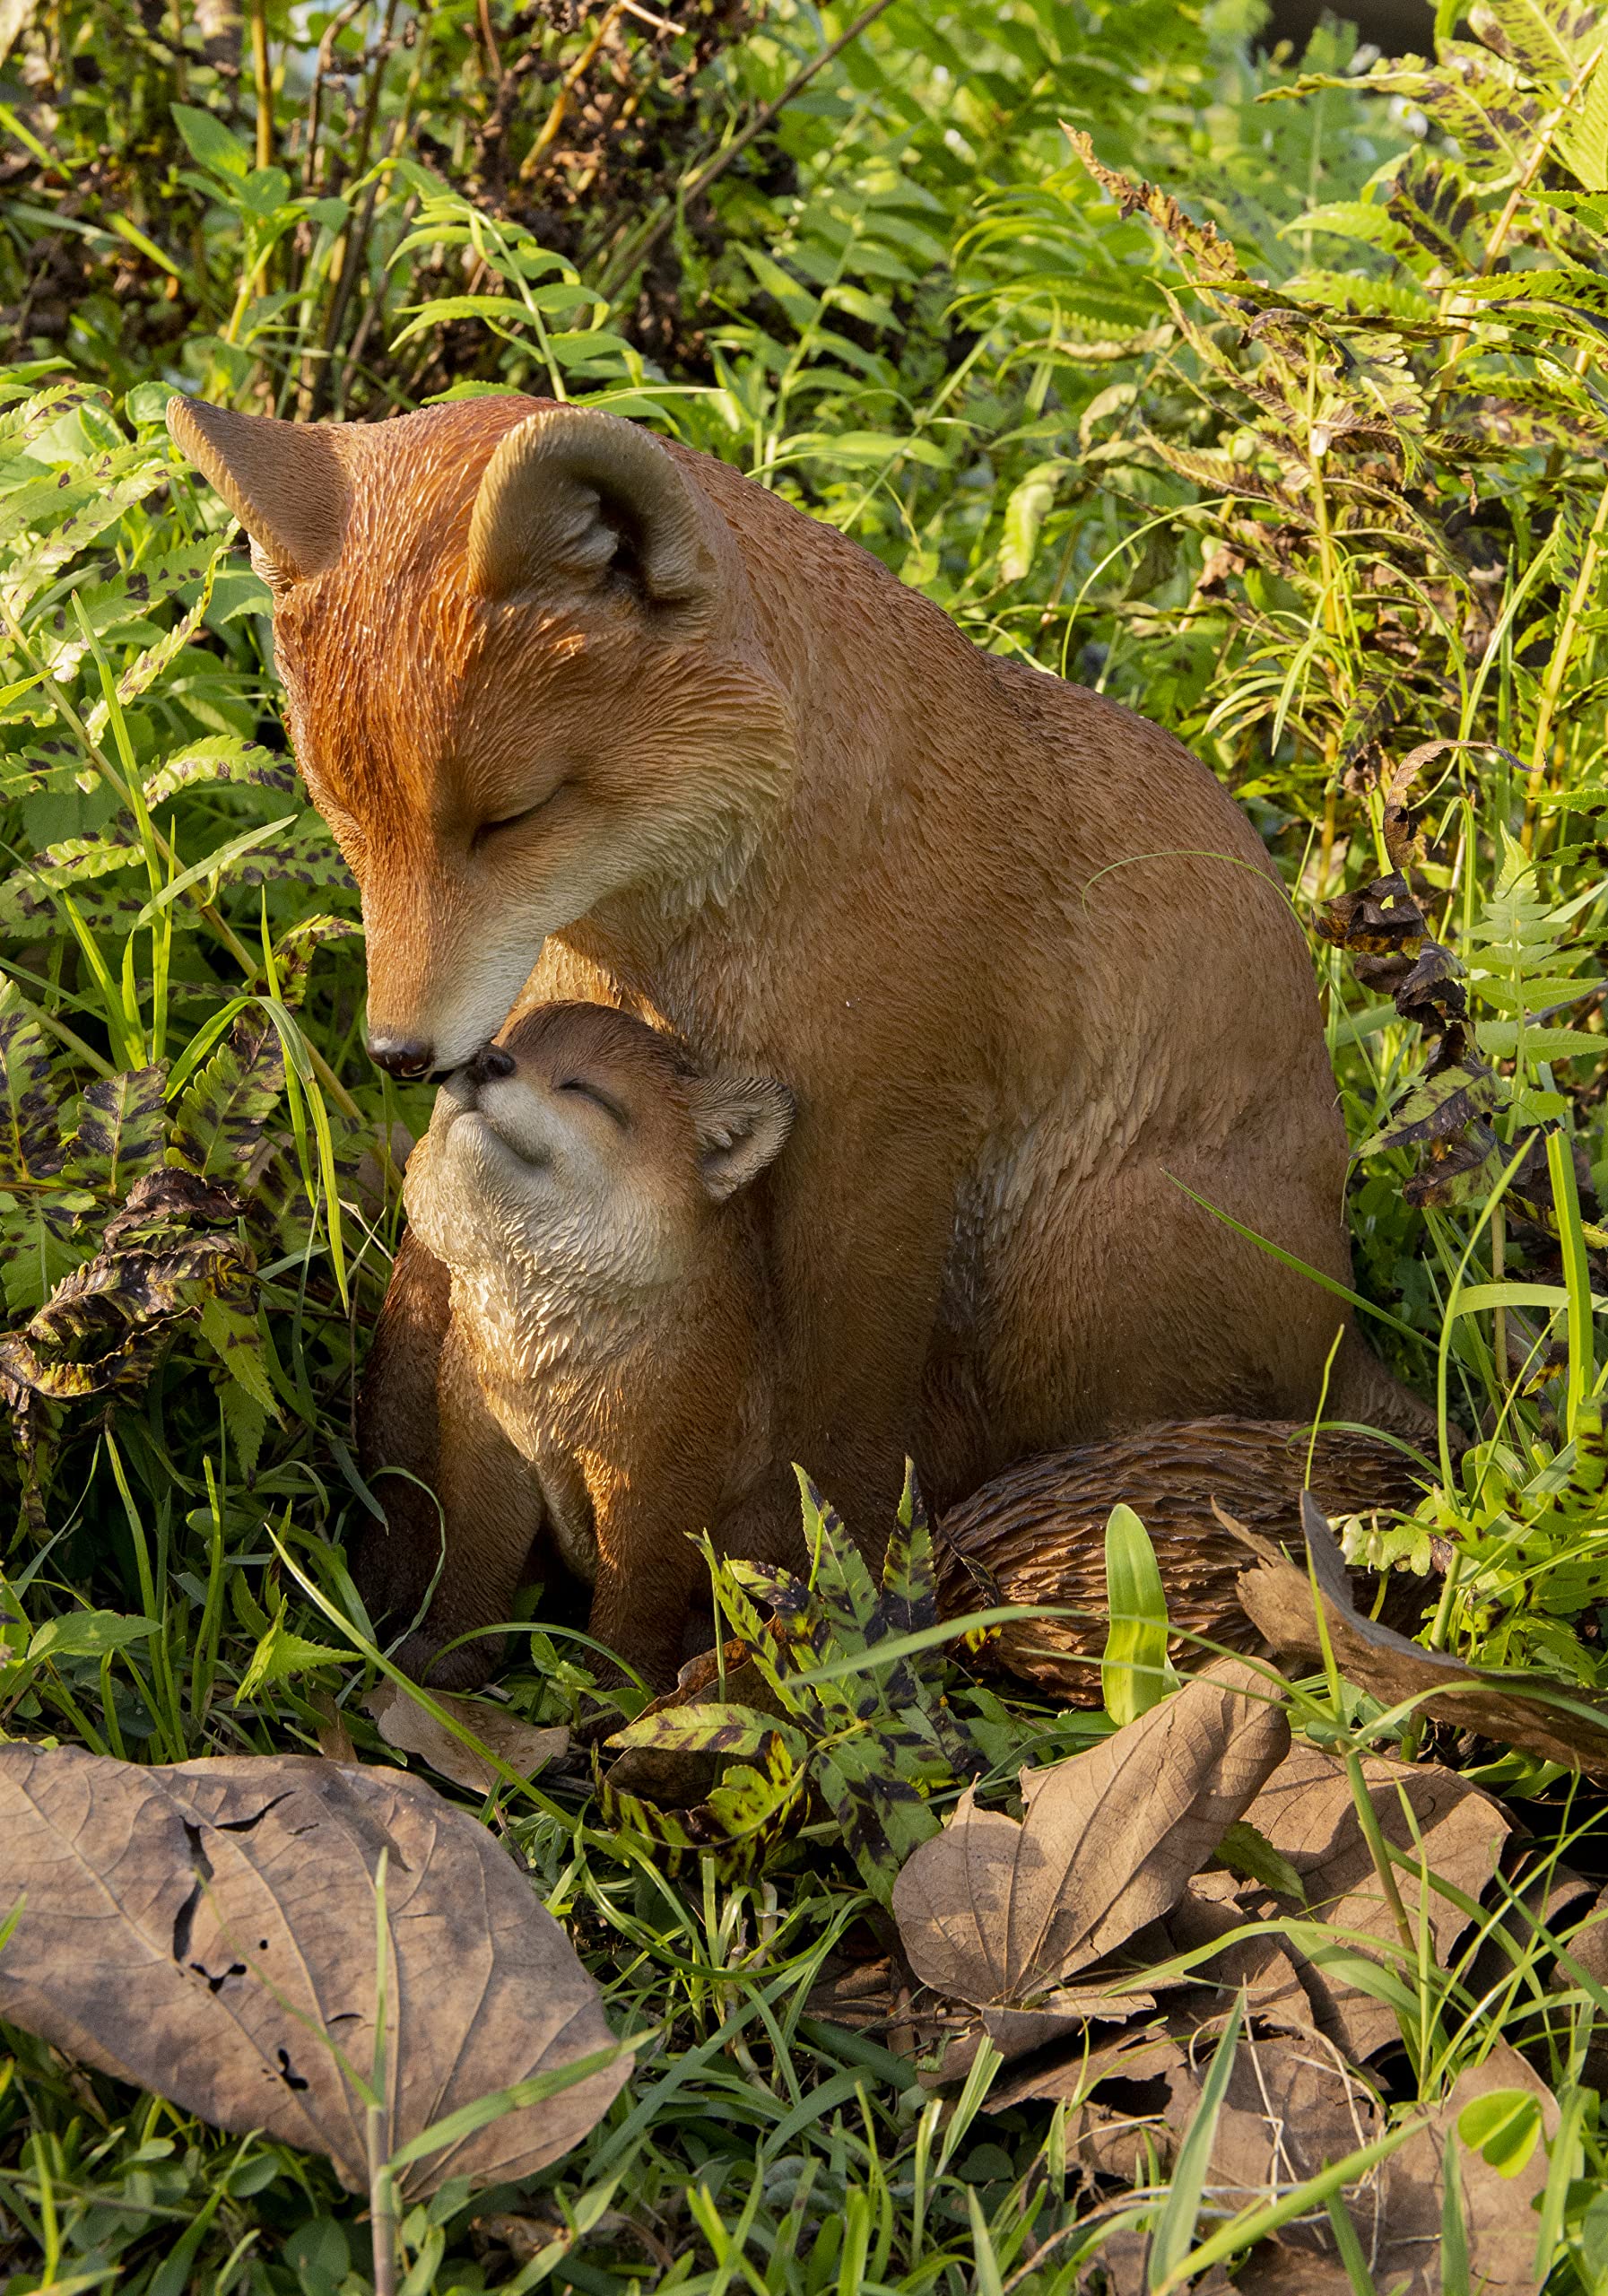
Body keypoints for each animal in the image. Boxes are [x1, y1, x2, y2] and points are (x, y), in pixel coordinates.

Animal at [168, 389, 1432, 1574]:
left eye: (510, 819)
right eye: (344, 815)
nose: (400, 1052)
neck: (698, 949)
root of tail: (1344, 1318)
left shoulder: (884, 1135)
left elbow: (842, 1435)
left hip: (1080, 1264)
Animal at [356, 1001, 797, 1691]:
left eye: (583, 1090)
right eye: (501, 1042)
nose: (486, 1061)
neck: (543, 1384)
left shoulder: (655, 1476)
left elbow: (638, 1600)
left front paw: (618, 1694)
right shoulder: (485, 1445)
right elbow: (472, 1560)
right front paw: (449, 1653)